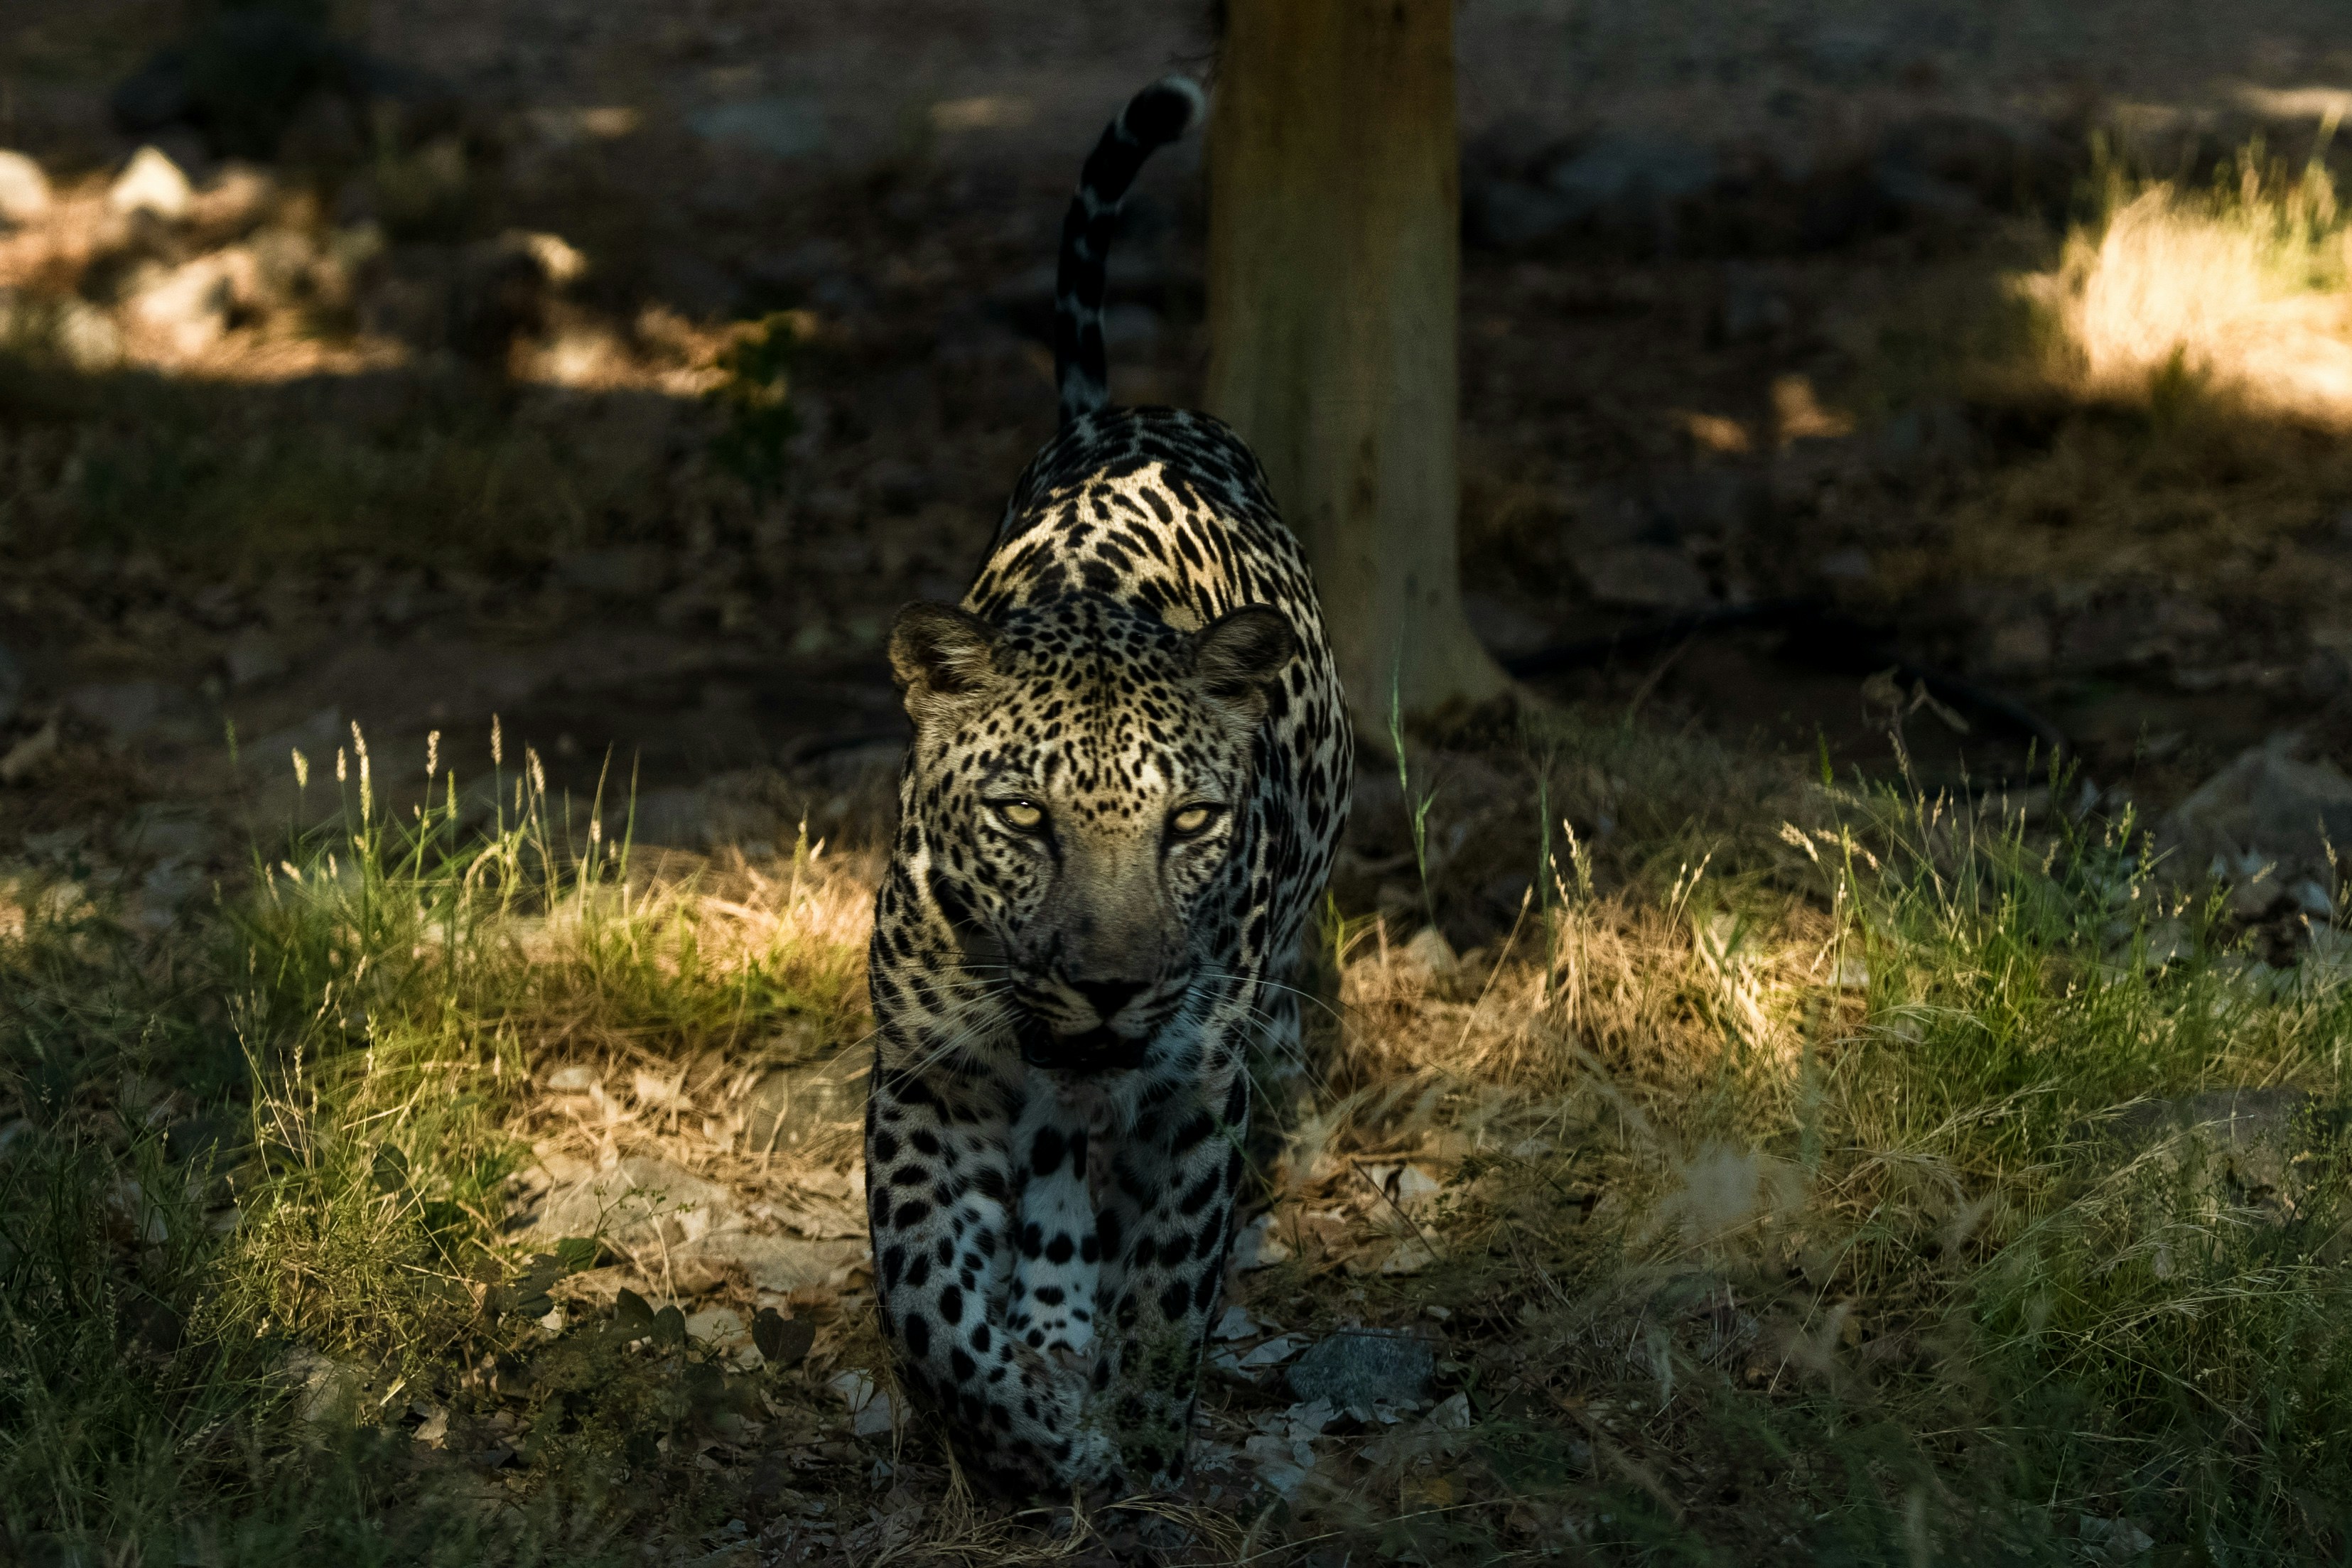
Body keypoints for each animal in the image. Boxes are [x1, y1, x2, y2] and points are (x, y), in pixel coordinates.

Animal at [862, 74, 1353, 1498]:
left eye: (1189, 822)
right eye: (1023, 819)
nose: (1110, 985)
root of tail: (1117, 415)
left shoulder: (1190, 1092)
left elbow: (1173, 1276)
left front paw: (1137, 1431)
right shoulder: (930, 1073)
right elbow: (926, 1289)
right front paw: (1017, 1426)